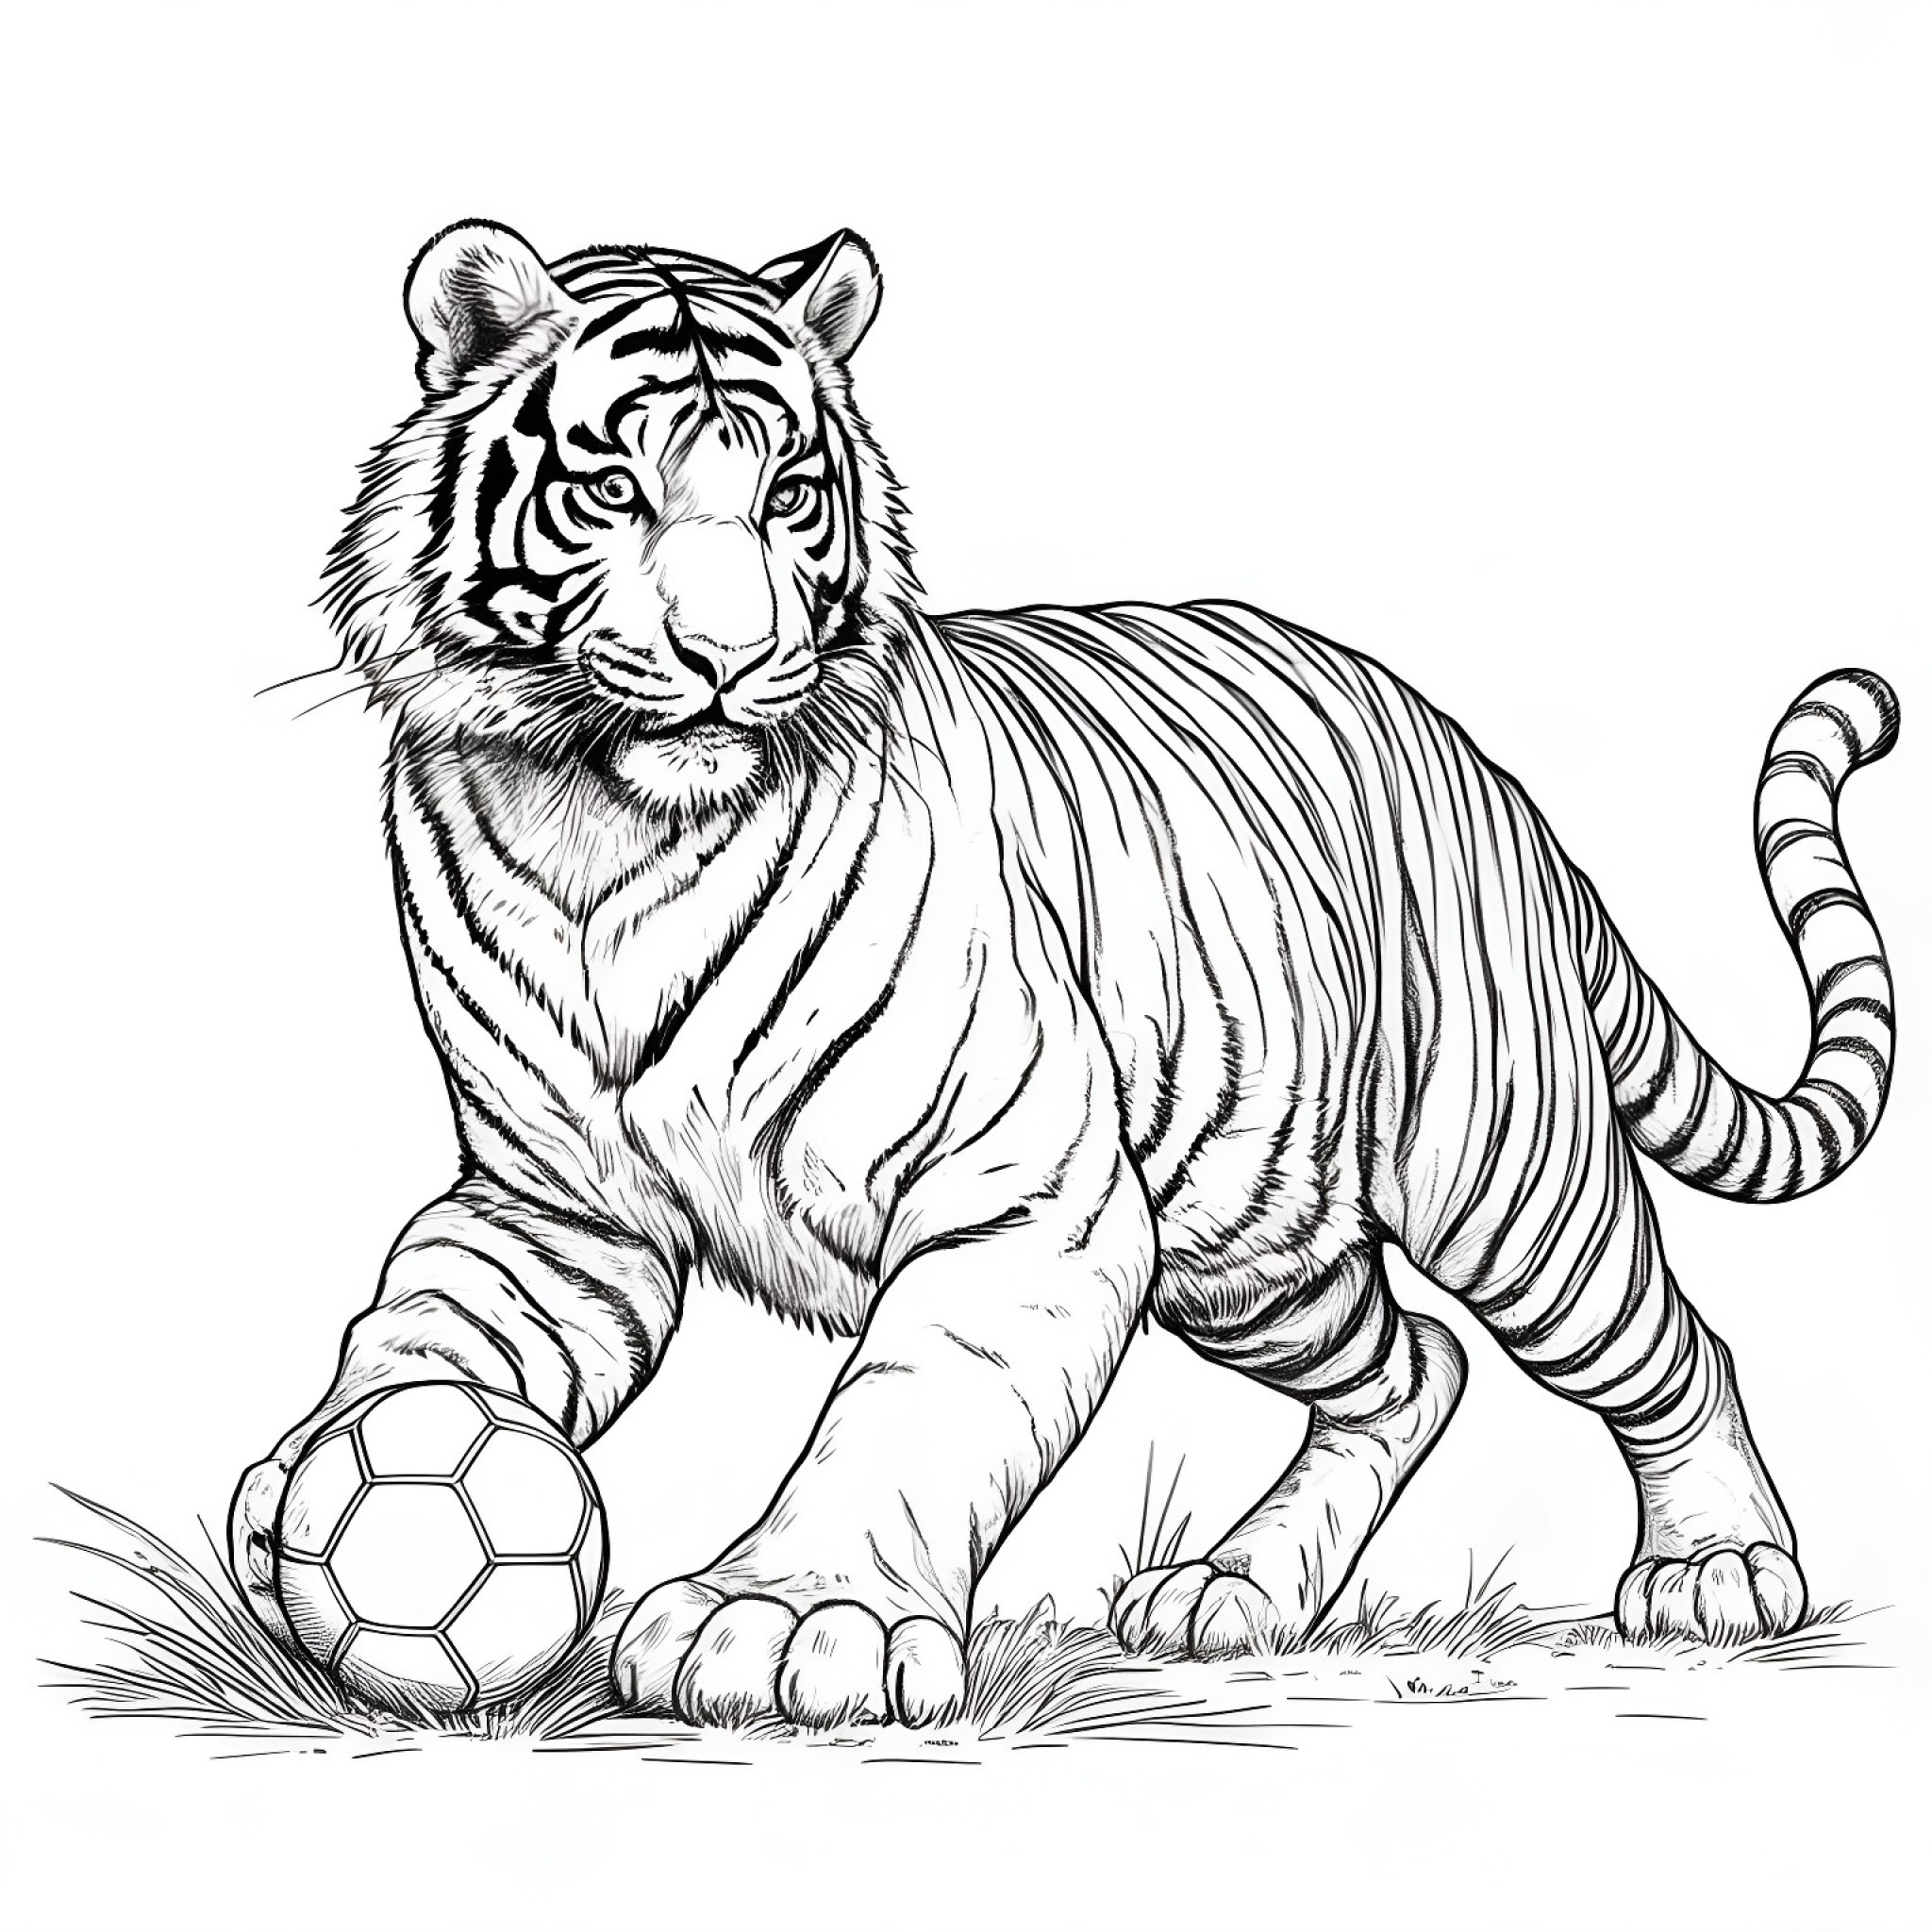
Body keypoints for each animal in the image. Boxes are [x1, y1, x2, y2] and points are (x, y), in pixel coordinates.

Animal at [229, 218, 1898, 1729]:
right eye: (612, 492)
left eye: (790, 501)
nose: (727, 656)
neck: (602, 834)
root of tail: (1490, 780)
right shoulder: (555, 1208)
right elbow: (429, 1319)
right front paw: (310, 1480)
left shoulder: (1026, 1195)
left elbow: (906, 1410)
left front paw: (788, 1622)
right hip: (1254, 1235)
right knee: (1410, 1364)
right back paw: (1235, 1590)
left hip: (1501, 1174)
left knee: (1670, 1348)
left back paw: (1719, 1569)